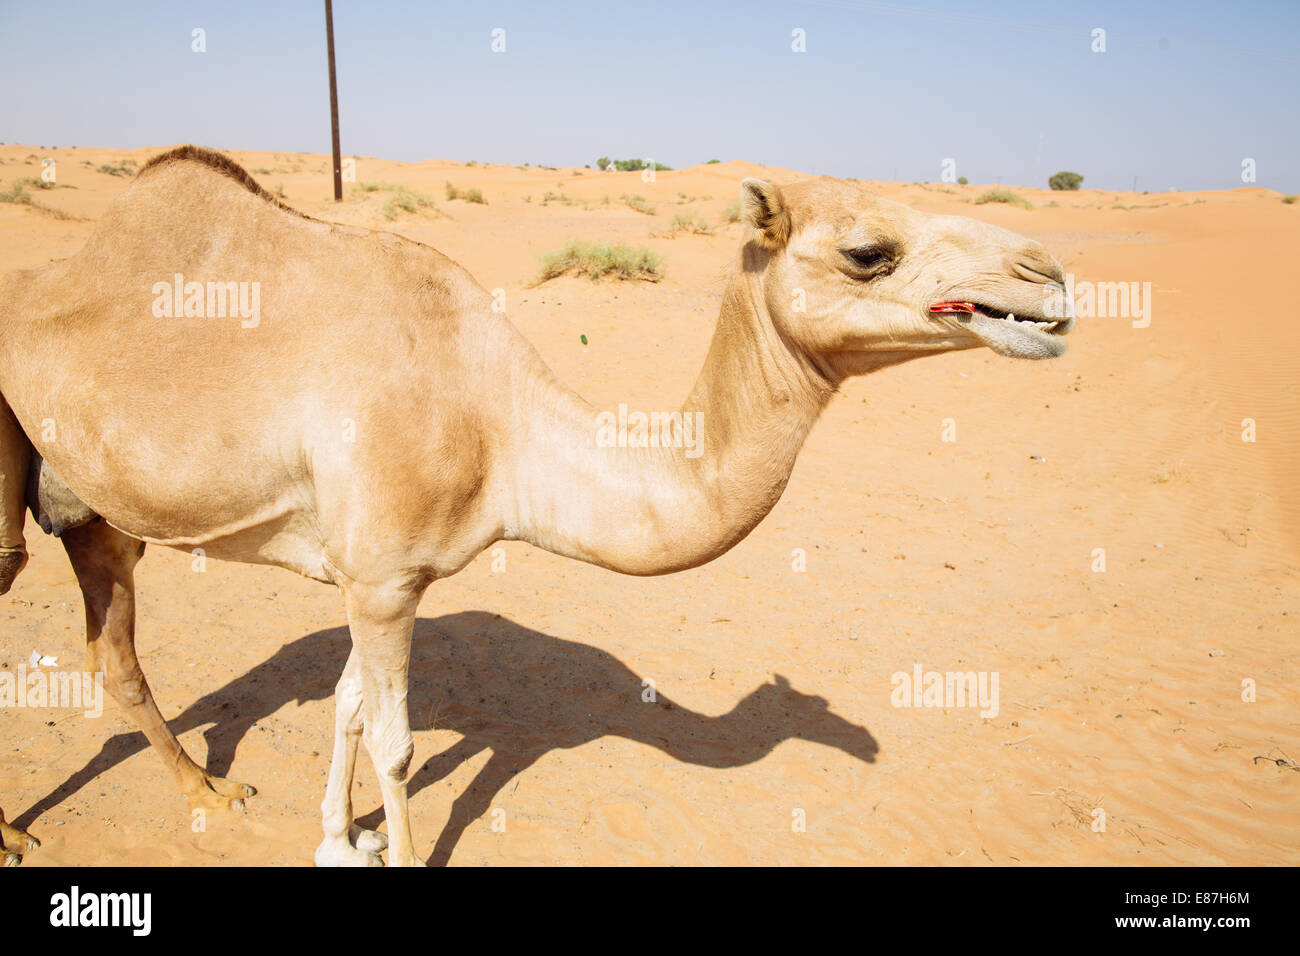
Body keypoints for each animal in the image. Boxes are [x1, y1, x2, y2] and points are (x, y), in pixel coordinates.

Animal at [0, 146, 1072, 866]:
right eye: (867, 250)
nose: (1049, 278)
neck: (500, 424)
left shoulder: (379, 573)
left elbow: (347, 707)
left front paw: (338, 840)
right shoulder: (383, 577)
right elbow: (393, 739)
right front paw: (389, 847)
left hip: (96, 513)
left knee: (114, 651)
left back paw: (212, 791)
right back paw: (19, 832)